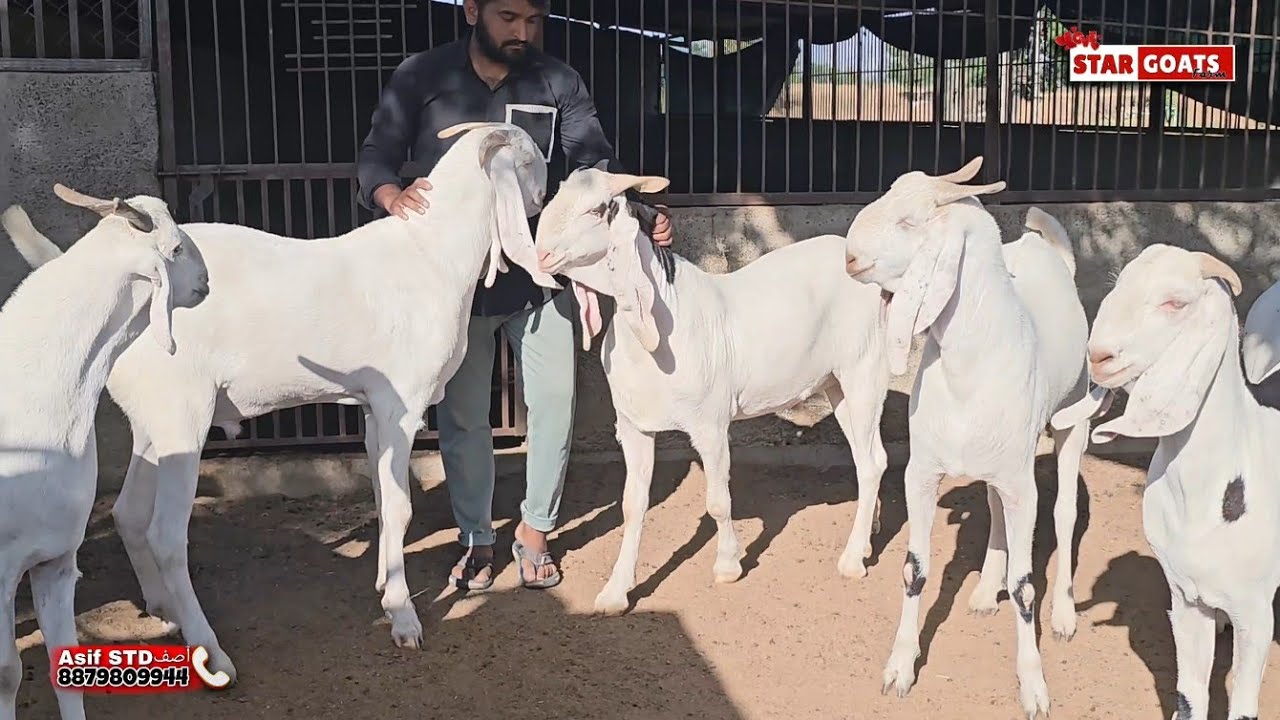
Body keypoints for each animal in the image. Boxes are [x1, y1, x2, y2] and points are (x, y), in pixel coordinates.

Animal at [508, 165, 891, 615]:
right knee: (869, 457)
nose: (541, 255)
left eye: (597, 209)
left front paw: (727, 565)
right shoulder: (633, 427)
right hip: (836, 384)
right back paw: (868, 536)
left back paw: (851, 560)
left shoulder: (710, 425)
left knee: (872, 462)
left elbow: (718, 500)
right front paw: (615, 592)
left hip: (865, 371)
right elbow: (632, 506)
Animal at [842, 157, 1091, 719]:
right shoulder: (922, 472)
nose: (849, 258)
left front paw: (1034, 686)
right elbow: (913, 570)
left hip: (1073, 420)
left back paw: (1064, 613)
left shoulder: (1024, 482)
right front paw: (900, 667)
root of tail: (1047, 250)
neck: (968, 366)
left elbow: (1025, 588)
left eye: (910, 221)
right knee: (995, 507)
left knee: (1064, 511)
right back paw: (983, 590)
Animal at [1051, 244, 1271, 720]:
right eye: (1118, 286)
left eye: (1176, 303)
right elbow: (1190, 696)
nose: (1099, 356)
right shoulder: (1186, 600)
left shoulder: (1256, 616)